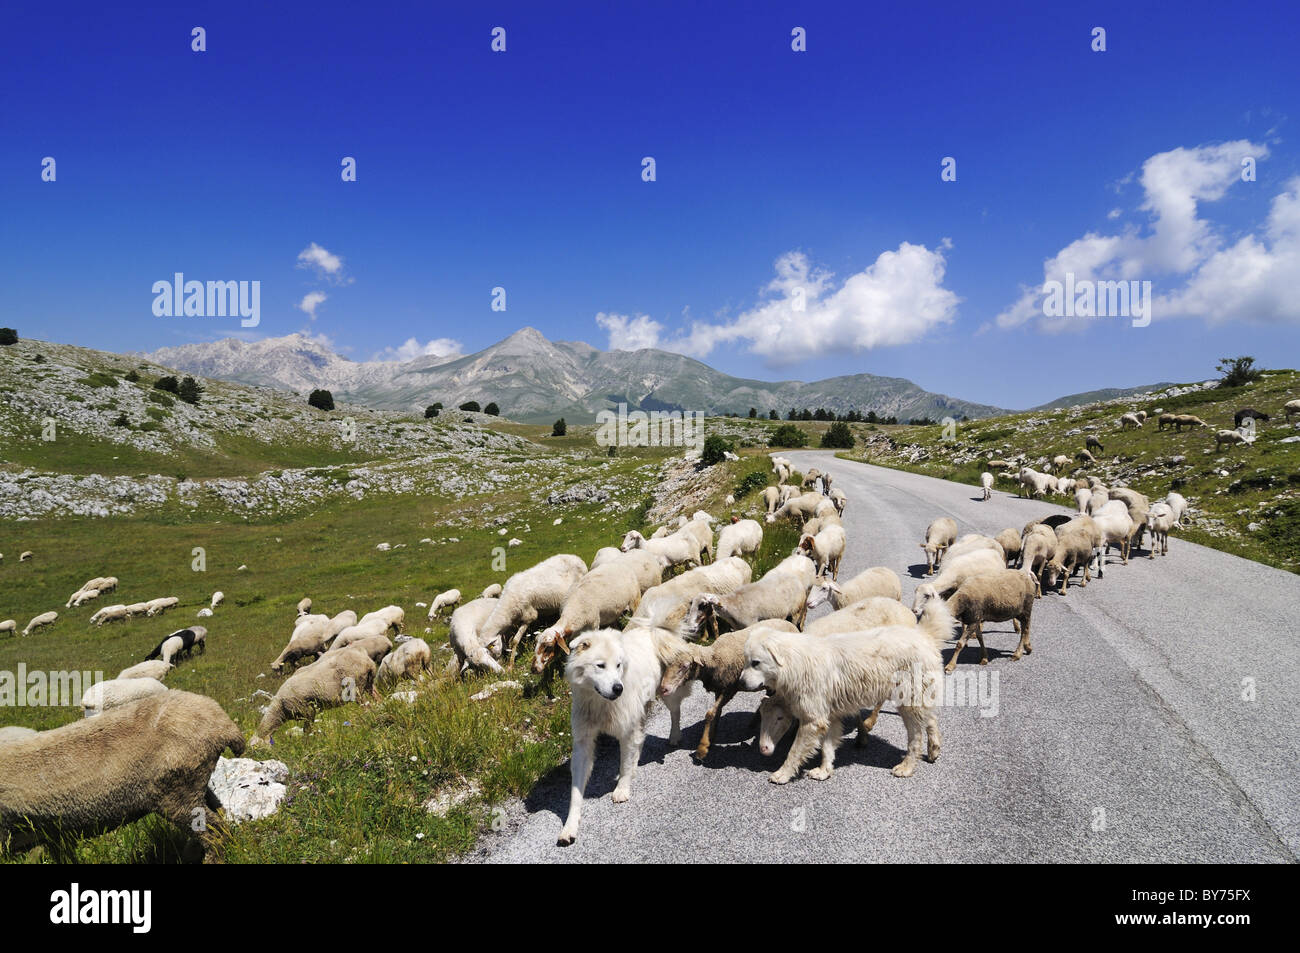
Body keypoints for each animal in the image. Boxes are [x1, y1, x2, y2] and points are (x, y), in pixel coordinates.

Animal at [655, 620, 800, 759]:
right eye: (666, 664)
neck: (715, 658)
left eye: (685, 666)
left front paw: (702, 748)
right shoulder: (719, 690)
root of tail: (792, 625)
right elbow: (716, 713)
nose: (664, 689)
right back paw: (754, 721)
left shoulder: (729, 689)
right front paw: (711, 738)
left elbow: (710, 713)